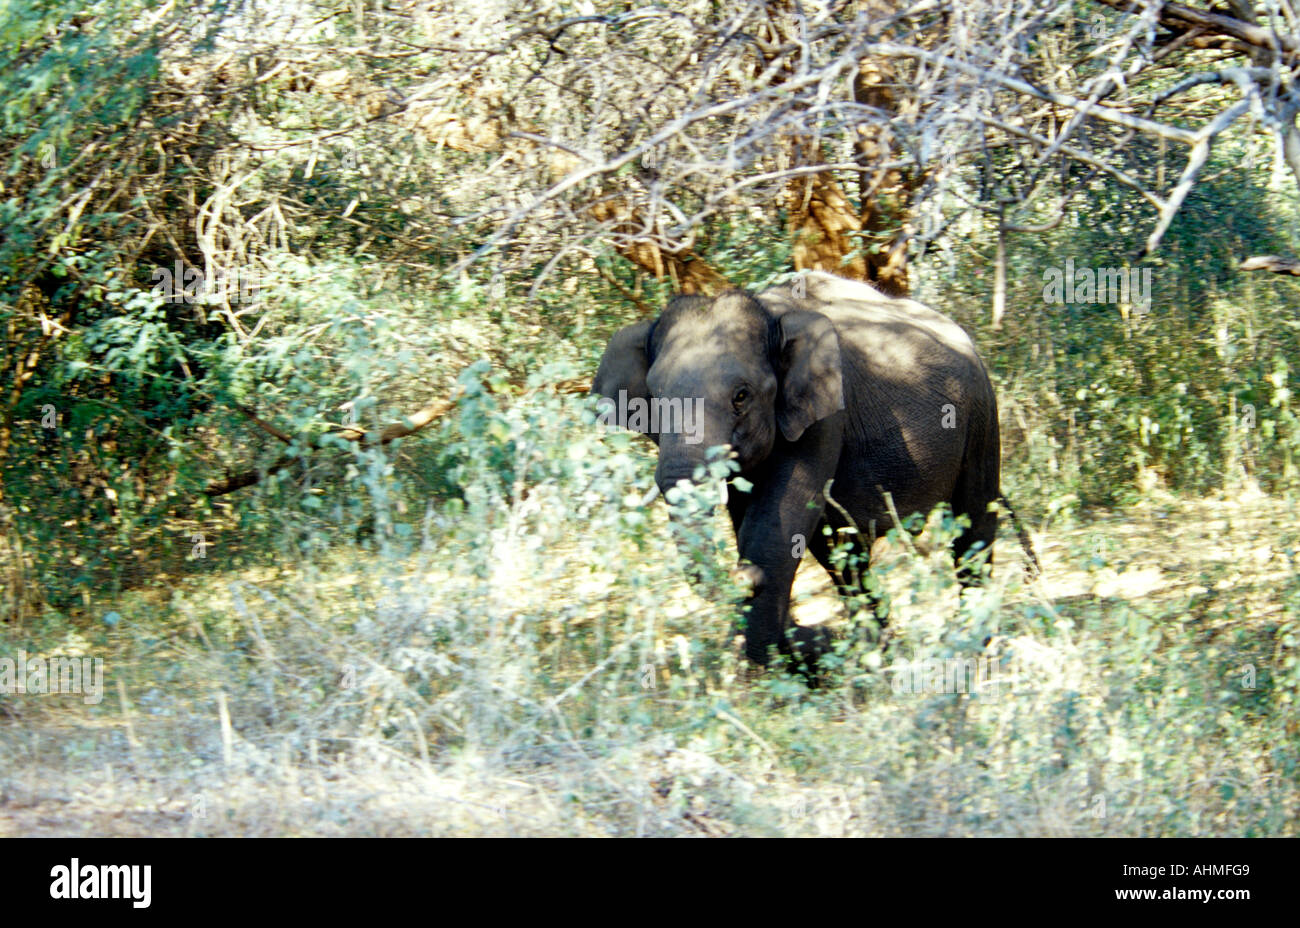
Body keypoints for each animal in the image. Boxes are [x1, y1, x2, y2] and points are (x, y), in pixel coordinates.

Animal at [591, 271, 1032, 670]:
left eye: (741, 396)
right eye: (654, 399)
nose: (744, 577)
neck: (769, 313)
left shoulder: (823, 415)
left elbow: (775, 527)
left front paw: (762, 678)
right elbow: (755, 522)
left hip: (981, 414)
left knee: (973, 526)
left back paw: (972, 645)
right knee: (844, 555)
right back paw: (879, 651)